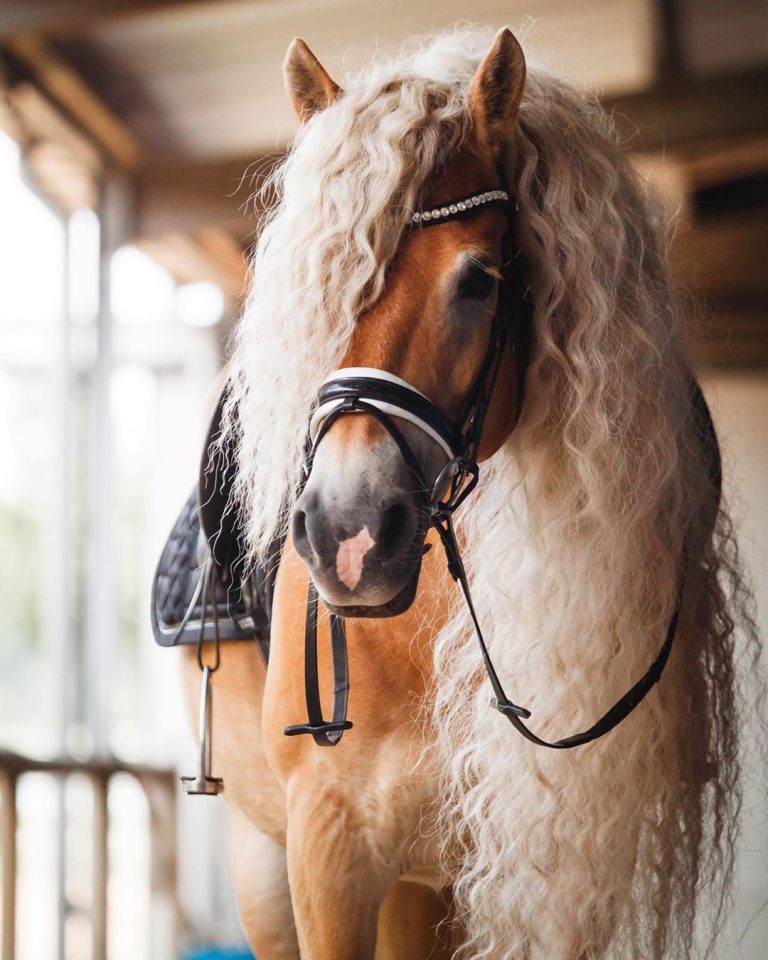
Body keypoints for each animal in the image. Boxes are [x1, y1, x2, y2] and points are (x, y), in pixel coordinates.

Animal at [177, 25, 755, 960]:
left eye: (479, 280)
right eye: (313, 285)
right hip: (266, 857)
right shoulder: (327, 847)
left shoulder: (555, 862)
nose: (346, 533)